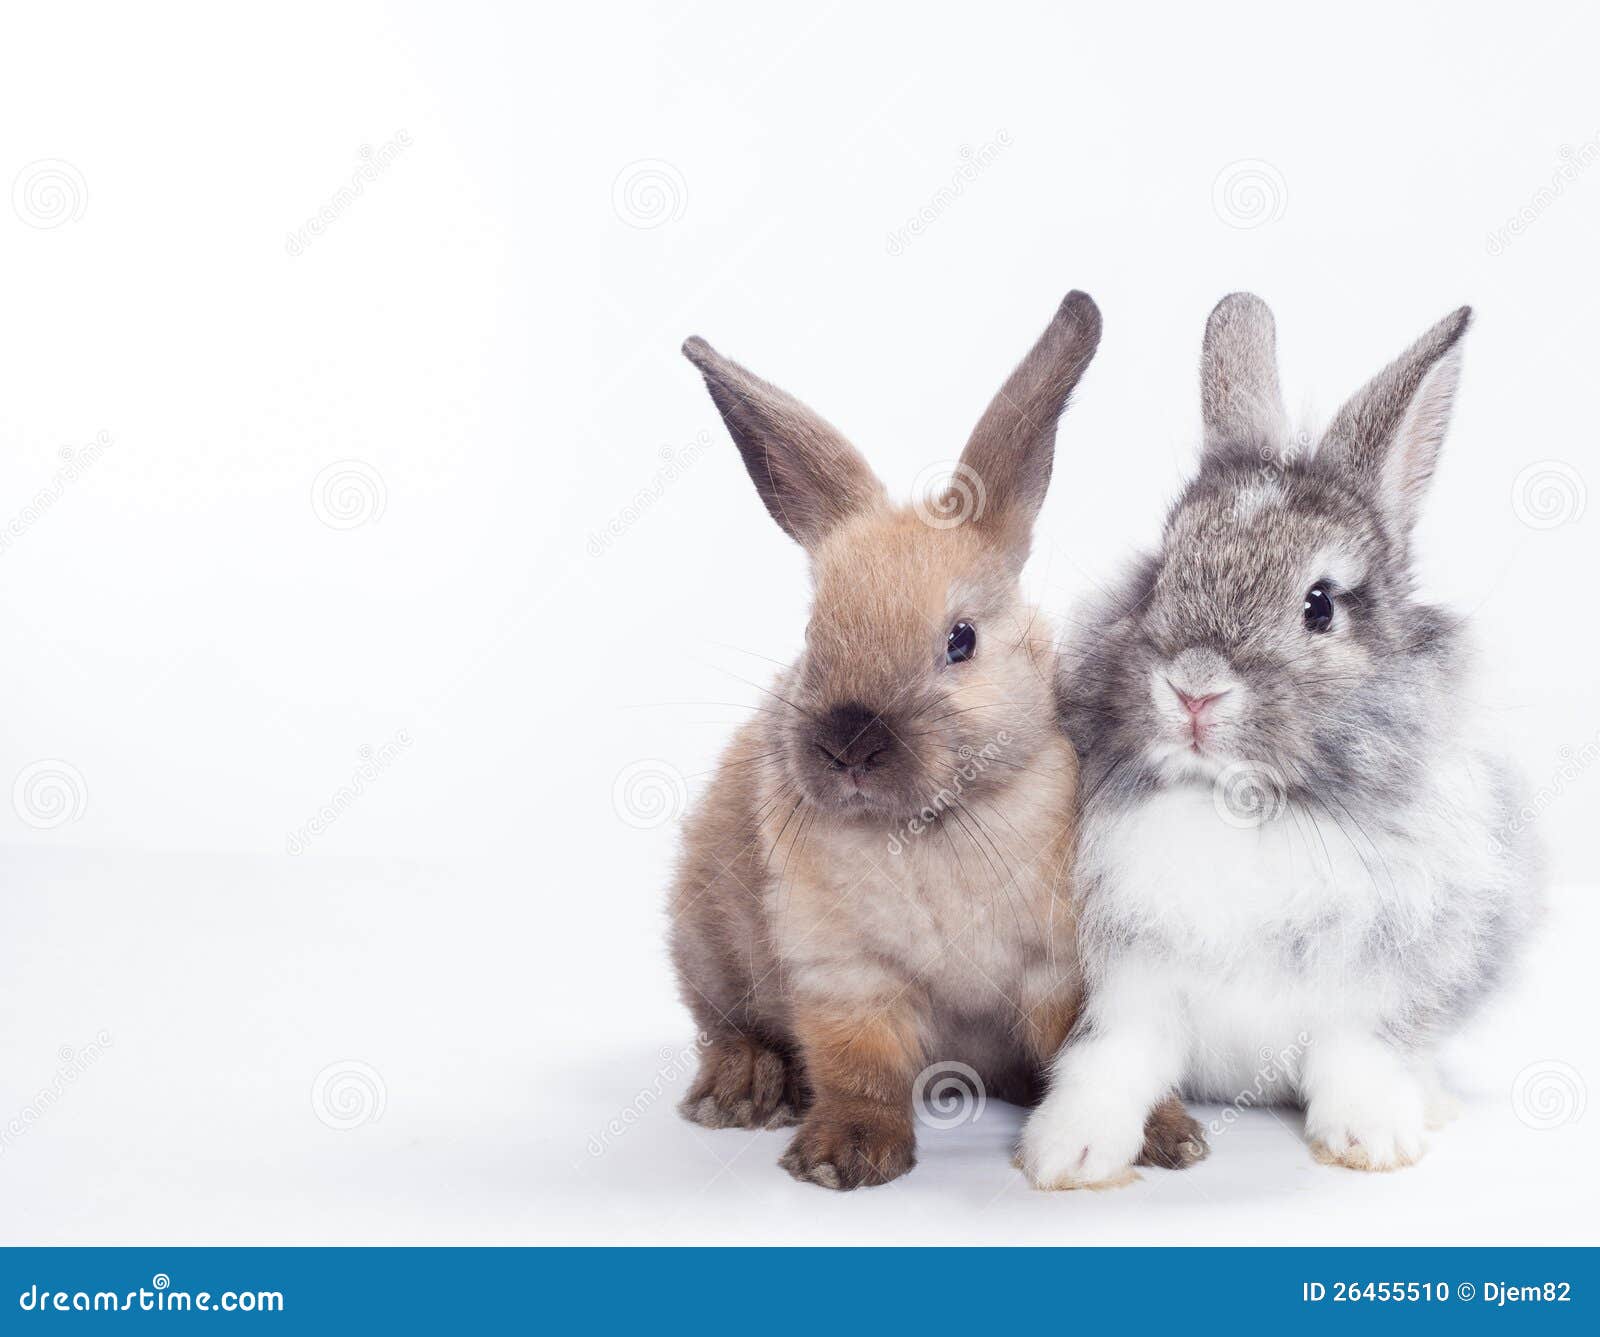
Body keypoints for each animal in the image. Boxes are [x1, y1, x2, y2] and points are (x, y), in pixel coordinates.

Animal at [670, 291, 1209, 1189]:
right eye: (814, 635)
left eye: (961, 641)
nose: (849, 744)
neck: (931, 823)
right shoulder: (844, 974)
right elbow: (858, 1067)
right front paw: (843, 1156)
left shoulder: (1066, 967)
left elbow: (1092, 1050)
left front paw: (1166, 1137)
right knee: (725, 1026)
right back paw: (740, 1090)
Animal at [1017, 294, 1542, 1190]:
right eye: (1163, 572)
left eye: (1320, 605)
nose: (1193, 688)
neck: (1242, 807)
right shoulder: (1131, 984)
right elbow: (1110, 1060)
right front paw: (1069, 1152)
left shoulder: (1372, 988)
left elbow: (1361, 1056)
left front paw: (1376, 1138)